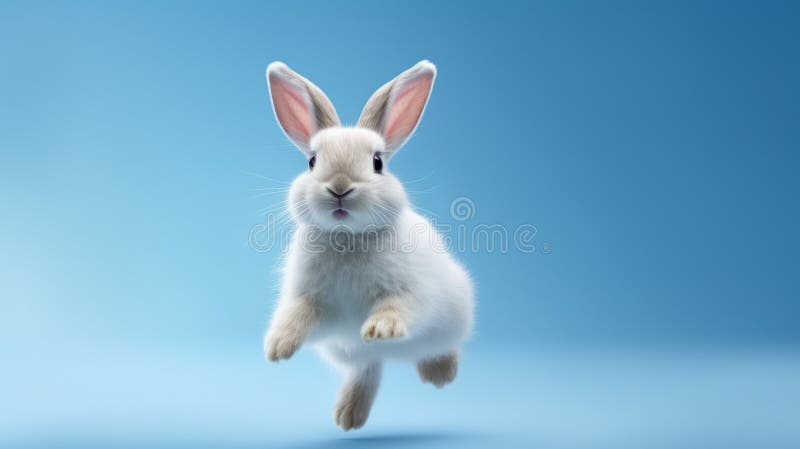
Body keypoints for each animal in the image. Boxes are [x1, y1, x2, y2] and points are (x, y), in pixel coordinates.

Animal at [262, 60, 474, 431]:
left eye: (378, 162)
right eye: (312, 162)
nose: (340, 187)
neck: (348, 237)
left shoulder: (410, 292)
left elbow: (397, 306)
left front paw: (380, 328)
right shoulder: (311, 301)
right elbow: (297, 312)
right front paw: (277, 346)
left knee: (438, 347)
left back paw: (439, 374)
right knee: (367, 369)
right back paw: (348, 416)